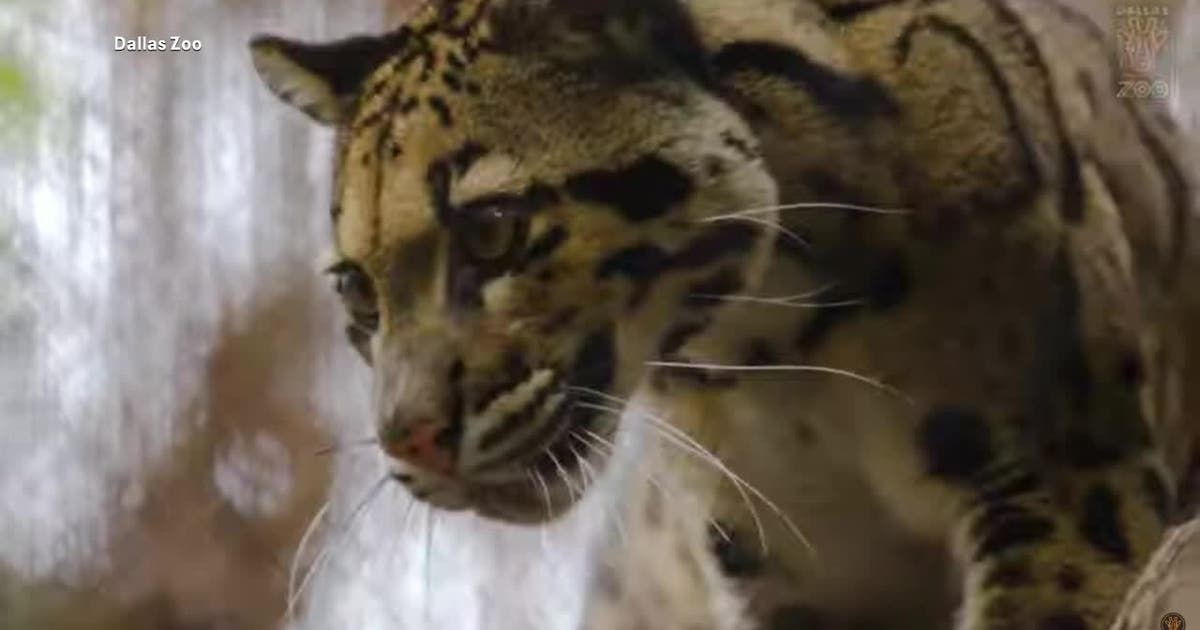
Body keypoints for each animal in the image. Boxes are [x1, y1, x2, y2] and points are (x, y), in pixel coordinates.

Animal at [248, 0, 1200, 628]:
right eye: (356, 291)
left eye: (491, 231)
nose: (407, 440)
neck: (776, 347)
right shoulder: (803, 568)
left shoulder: (1063, 481)